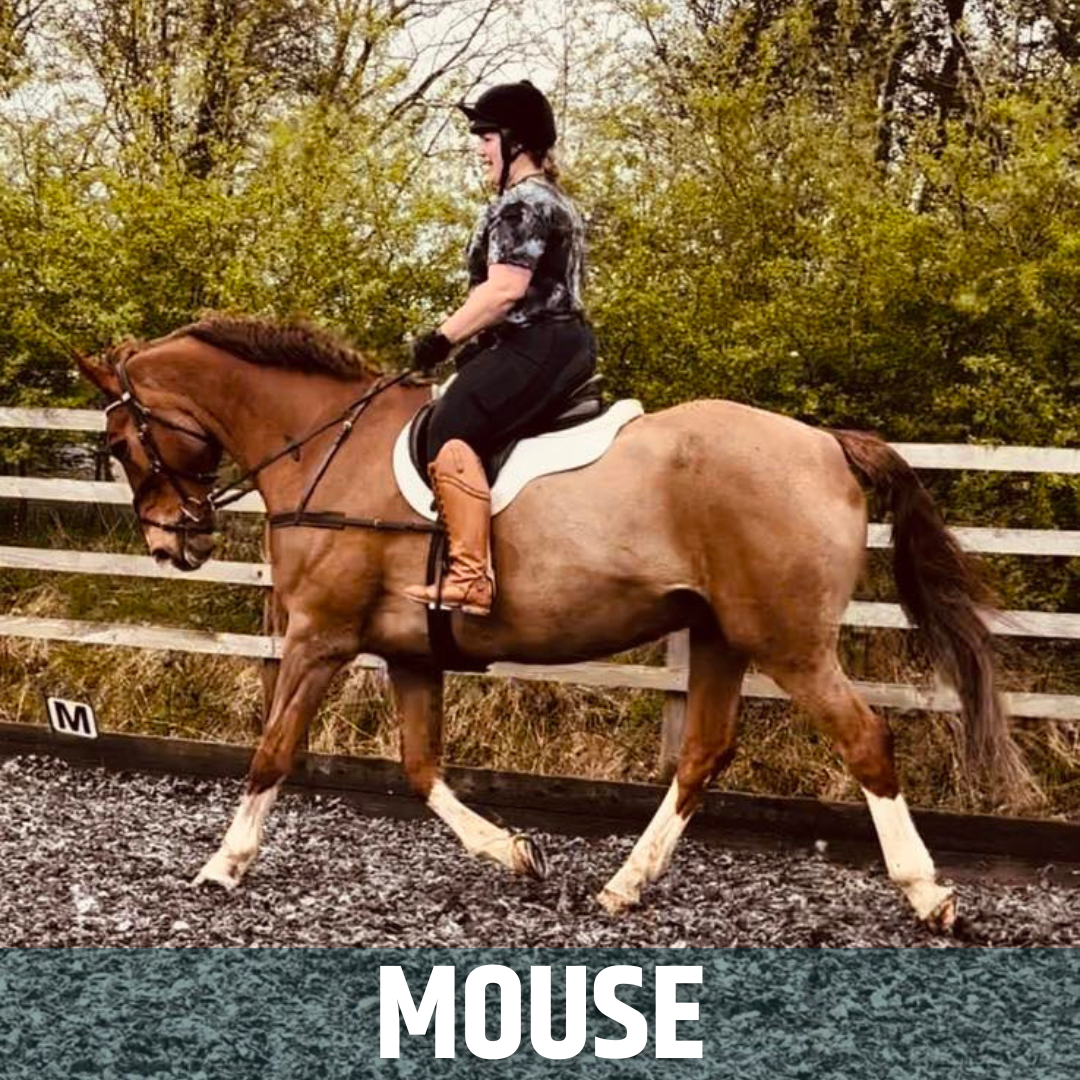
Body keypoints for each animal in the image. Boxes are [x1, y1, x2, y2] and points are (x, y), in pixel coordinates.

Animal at [78, 315, 1027, 932]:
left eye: (122, 442)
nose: (171, 541)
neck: (324, 447)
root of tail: (826, 443)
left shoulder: (321, 638)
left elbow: (273, 753)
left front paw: (222, 866)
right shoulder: (409, 653)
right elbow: (421, 769)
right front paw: (515, 854)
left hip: (788, 643)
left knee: (864, 741)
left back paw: (929, 895)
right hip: (722, 635)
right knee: (702, 754)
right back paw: (622, 888)